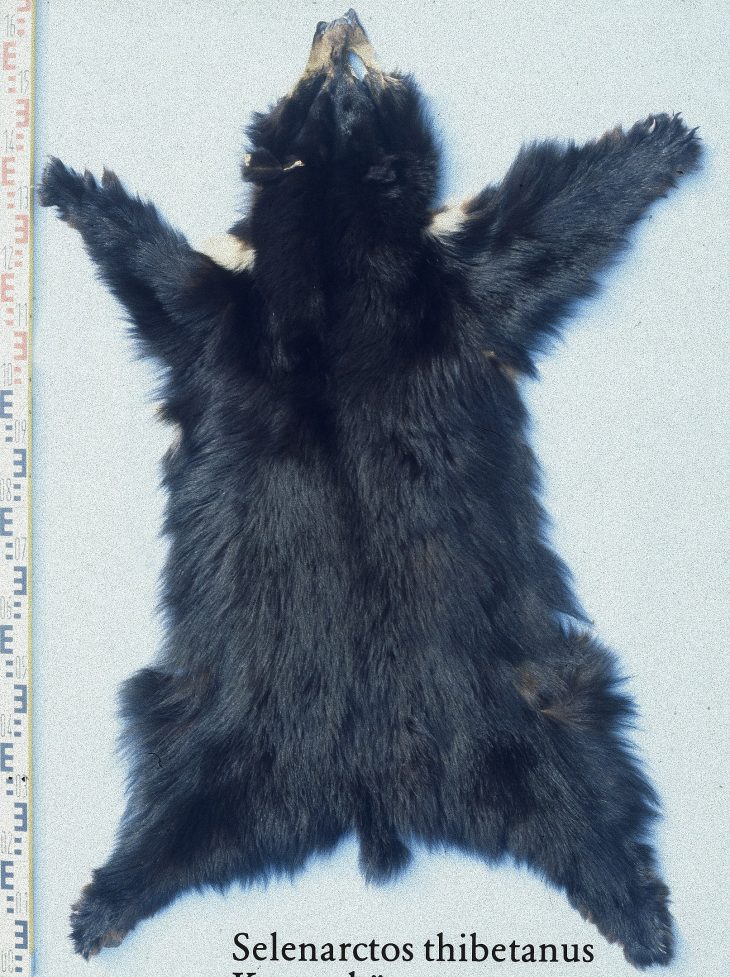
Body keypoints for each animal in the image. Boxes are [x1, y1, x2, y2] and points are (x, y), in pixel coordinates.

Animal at [39, 8, 701, 967]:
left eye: (359, 74)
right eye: (318, 77)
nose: (338, 18)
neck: (333, 250)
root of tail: (374, 793)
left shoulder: (429, 293)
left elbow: (540, 233)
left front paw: (663, 142)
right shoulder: (245, 314)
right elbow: (164, 275)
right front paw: (65, 184)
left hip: (531, 716)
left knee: (590, 804)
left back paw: (639, 911)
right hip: (220, 736)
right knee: (176, 820)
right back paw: (105, 903)